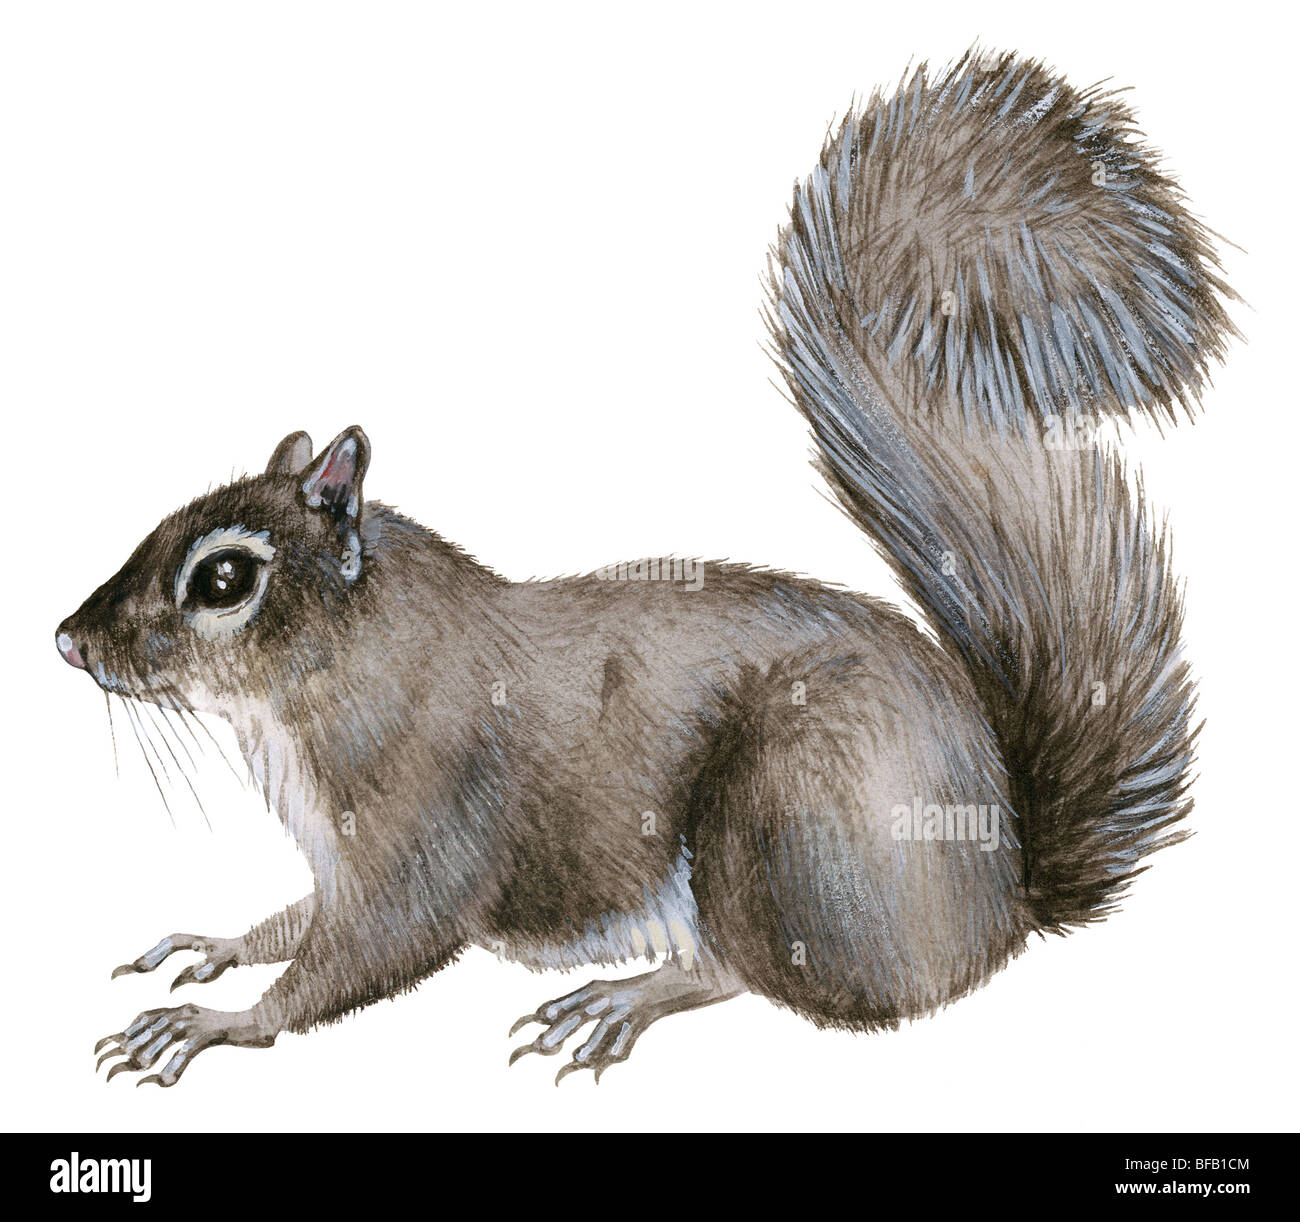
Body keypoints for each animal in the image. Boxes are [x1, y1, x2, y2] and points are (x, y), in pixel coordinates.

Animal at [59, 49, 1238, 1087]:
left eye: (224, 580)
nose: (69, 640)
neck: (321, 680)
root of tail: (1002, 899)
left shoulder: (422, 825)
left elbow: (368, 950)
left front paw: (219, 1024)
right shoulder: (337, 859)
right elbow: (296, 921)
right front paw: (216, 945)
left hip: (783, 829)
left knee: (755, 975)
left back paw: (624, 998)